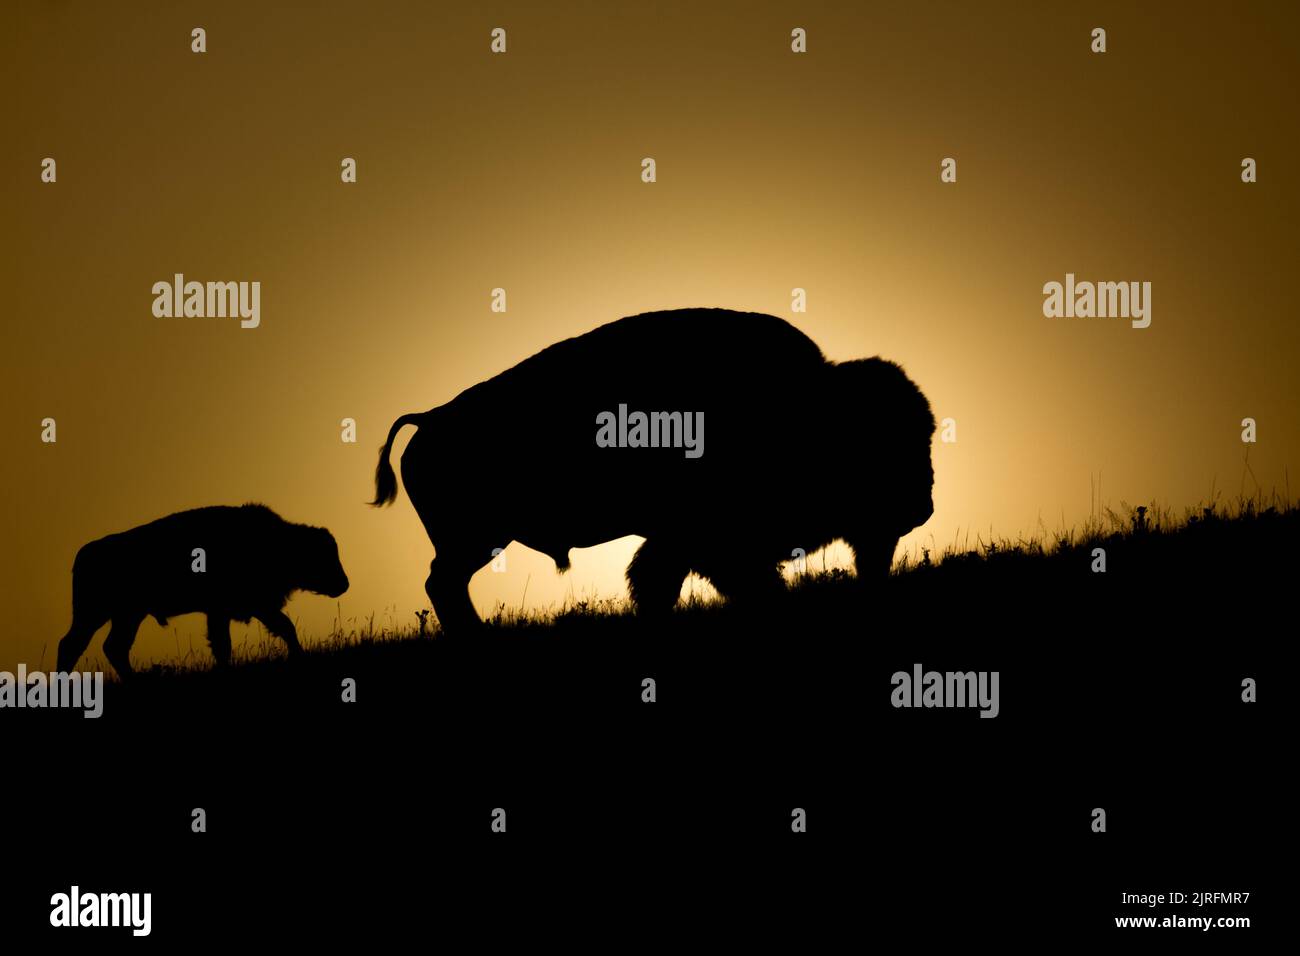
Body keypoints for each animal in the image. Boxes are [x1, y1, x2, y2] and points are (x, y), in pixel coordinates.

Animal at [56, 504, 349, 677]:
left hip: (127, 615)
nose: (344, 584)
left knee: (113, 647)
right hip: (95, 614)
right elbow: (228, 643)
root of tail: (85, 554)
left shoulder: (246, 608)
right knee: (74, 645)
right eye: (323, 555)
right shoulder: (231, 609)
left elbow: (282, 627)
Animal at [372, 308, 935, 633]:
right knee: (443, 584)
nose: (922, 506)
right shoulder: (701, 538)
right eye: (884, 443)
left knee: (443, 585)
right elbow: (676, 577)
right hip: (475, 540)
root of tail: (431, 418)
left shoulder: (682, 540)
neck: (808, 408)